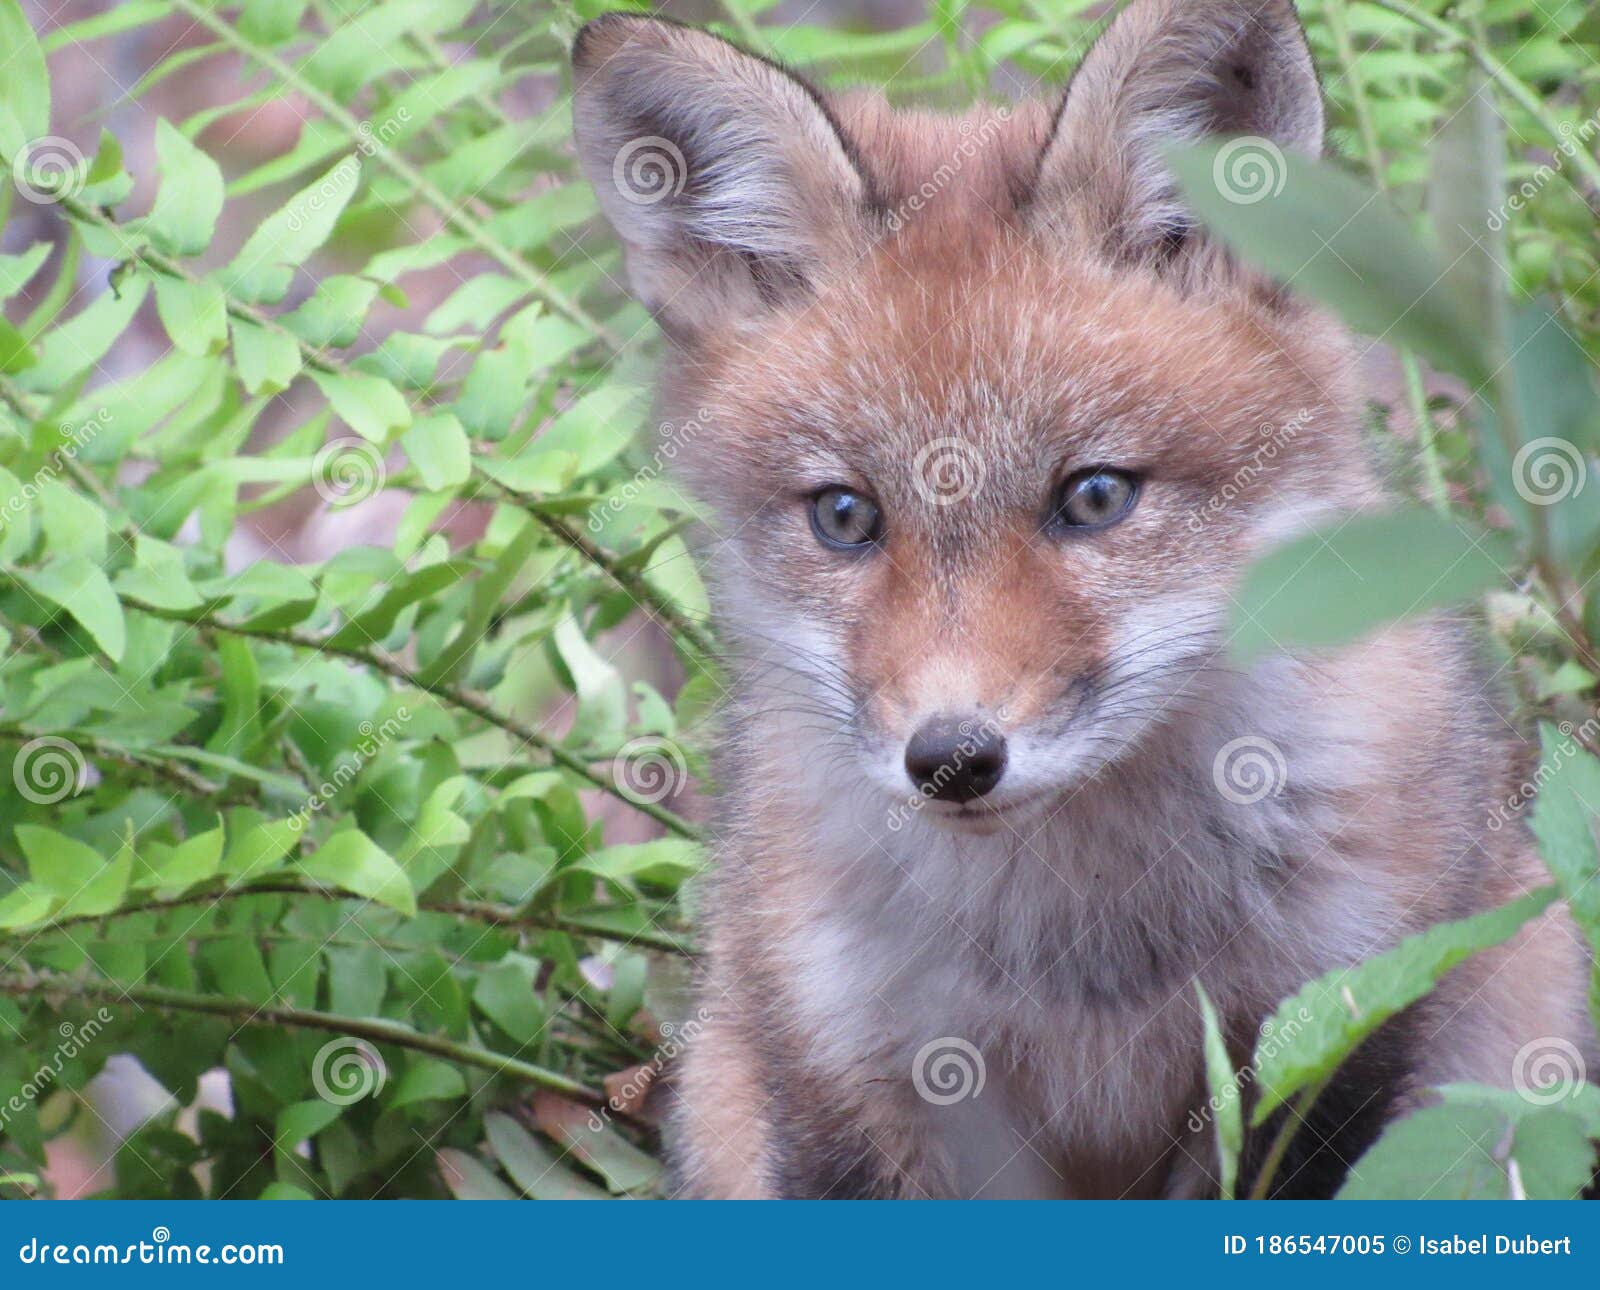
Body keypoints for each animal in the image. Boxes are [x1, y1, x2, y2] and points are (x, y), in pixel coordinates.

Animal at [570, 0, 1596, 1198]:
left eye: (1094, 496)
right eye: (845, 516)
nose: (951, 758)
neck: (1083, 941)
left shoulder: (1334, 1025)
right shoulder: (848, 1072)